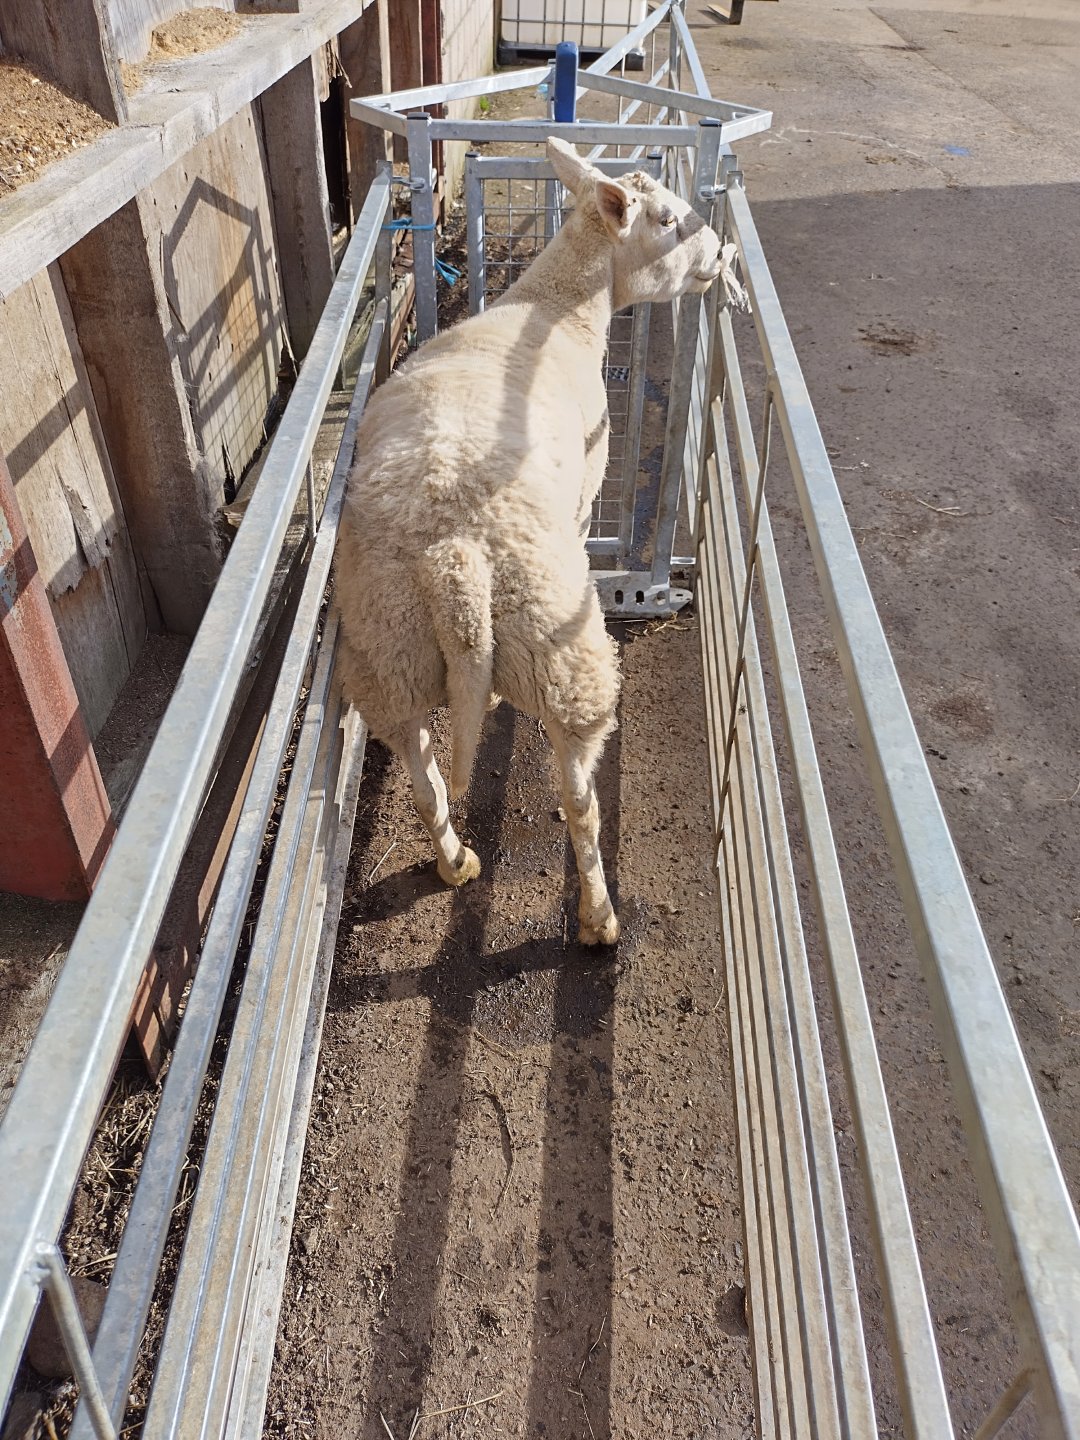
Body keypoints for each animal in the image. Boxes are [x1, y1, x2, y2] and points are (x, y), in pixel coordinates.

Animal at [335, 136, 722, 945]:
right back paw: (598, 917)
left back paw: (455, 862)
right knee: (579, 798)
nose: (721, 254)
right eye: (668, 219)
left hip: (388, 661)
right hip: (565, 655)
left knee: (424, 783)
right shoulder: (582, 501)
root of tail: (453, 564)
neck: (554, 311)